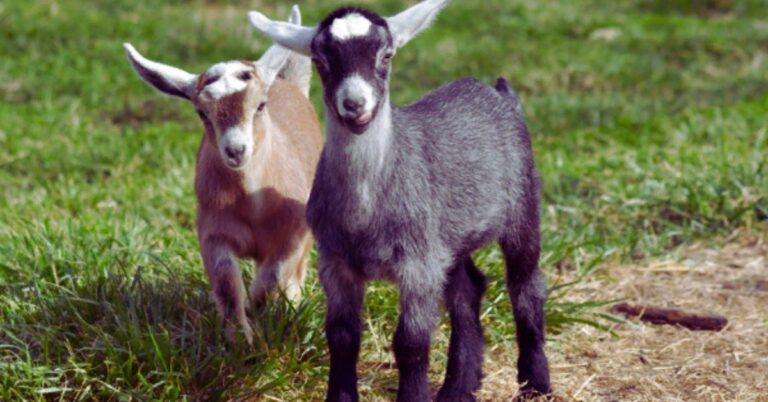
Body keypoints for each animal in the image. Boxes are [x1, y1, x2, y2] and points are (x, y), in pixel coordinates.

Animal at [124, 6, 322, 345]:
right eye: (202, 113)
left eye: (260, 105)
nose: (236, 150)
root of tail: (288, 81)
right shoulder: (212, 233)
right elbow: (228, 286)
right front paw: (240, 339)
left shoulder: (295, 231)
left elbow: (272, 279)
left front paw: (264, 313)